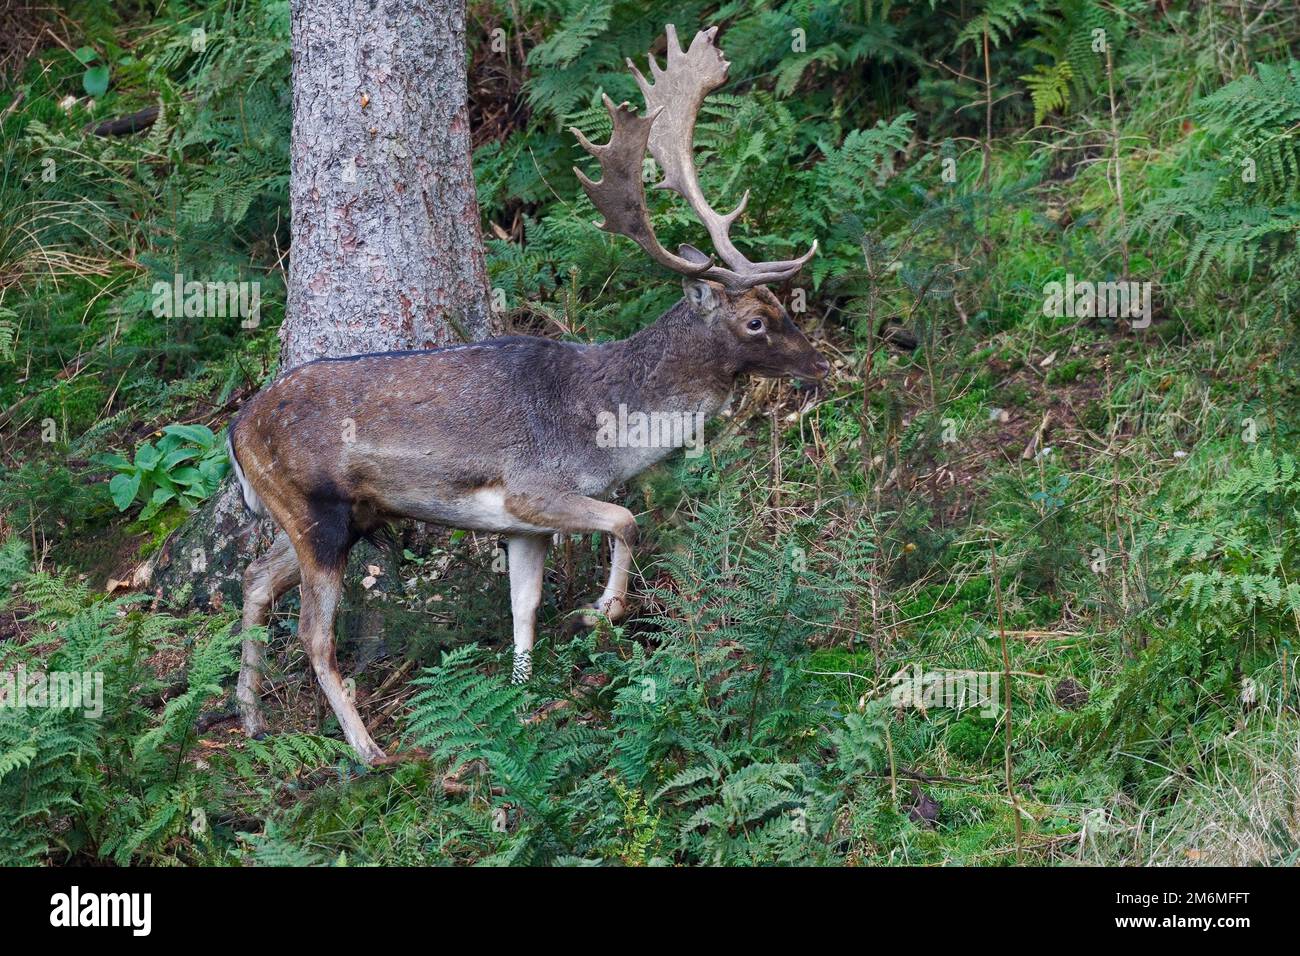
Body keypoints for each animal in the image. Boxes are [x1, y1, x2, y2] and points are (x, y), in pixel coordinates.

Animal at [226, 24, 829, 765]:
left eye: (779, 305)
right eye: (756, 322)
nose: (820, 361)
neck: (603, 427)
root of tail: (235, 433)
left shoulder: (519, 528)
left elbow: (524, 610)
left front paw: (522, 700)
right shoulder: (533, 488)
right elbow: (626, 521)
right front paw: (604, 611)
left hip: (339, 516)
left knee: (254, 578)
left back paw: (252, 717)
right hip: (315, 510)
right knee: (313, 632)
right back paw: (368, 751)